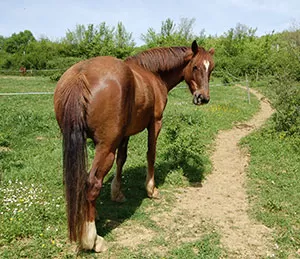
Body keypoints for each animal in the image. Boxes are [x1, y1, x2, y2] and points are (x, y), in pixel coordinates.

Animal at [53, 40, 213, 254]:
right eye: (195, 67)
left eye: (211, 68)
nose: (203, 97)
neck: (153, 74)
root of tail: (81, 75)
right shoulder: (155, 123)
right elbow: (151, 154)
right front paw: (151, 189)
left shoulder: (124, 134)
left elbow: (122, 159)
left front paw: (117, 193)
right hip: (105, 148)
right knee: (91, 184)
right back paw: (92, 240)